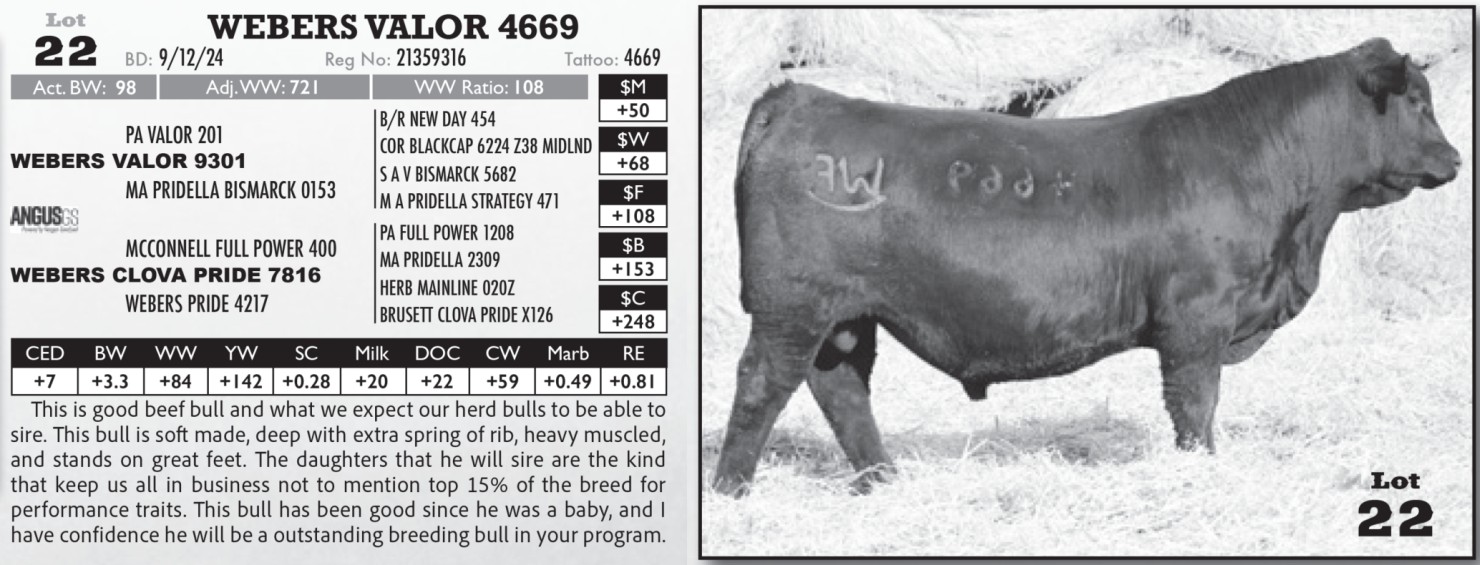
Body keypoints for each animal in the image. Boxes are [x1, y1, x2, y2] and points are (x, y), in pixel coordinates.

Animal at [712, 38, 1462, 497]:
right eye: (1417, 103)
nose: (1455, 159)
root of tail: (801, 97)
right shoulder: (1197, 322)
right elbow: (1196, 405)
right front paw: (1199, 469)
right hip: (791, 307)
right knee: (762, 385)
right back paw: (732, 489)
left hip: (844, 317)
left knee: (840, 389)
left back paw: (884, 479)